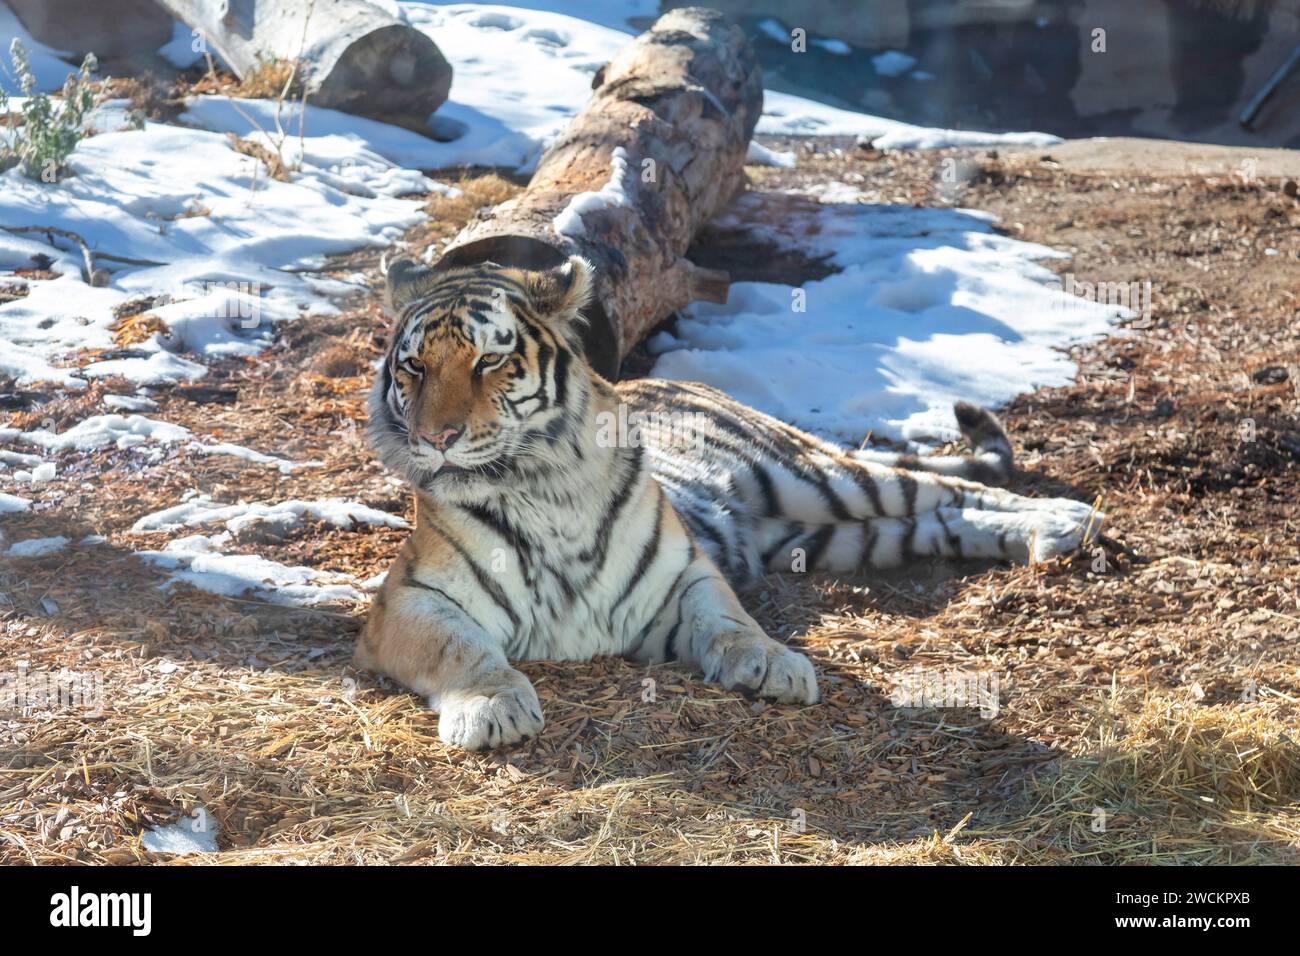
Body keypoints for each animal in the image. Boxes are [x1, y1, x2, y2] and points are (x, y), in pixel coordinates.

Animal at [354, 255, 1100, 750]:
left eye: (489, 361)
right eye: (413, 367)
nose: (436, 438)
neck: (541, 486)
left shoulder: (683, 576)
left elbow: (729, 619)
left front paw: (771, 664)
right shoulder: (409, 600)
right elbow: (463, 648)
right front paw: (492, 707)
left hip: (817, 477)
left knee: (952, 487)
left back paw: (1069, 520)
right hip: (829, 535)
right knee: (938, 519)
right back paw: (1047, 539)